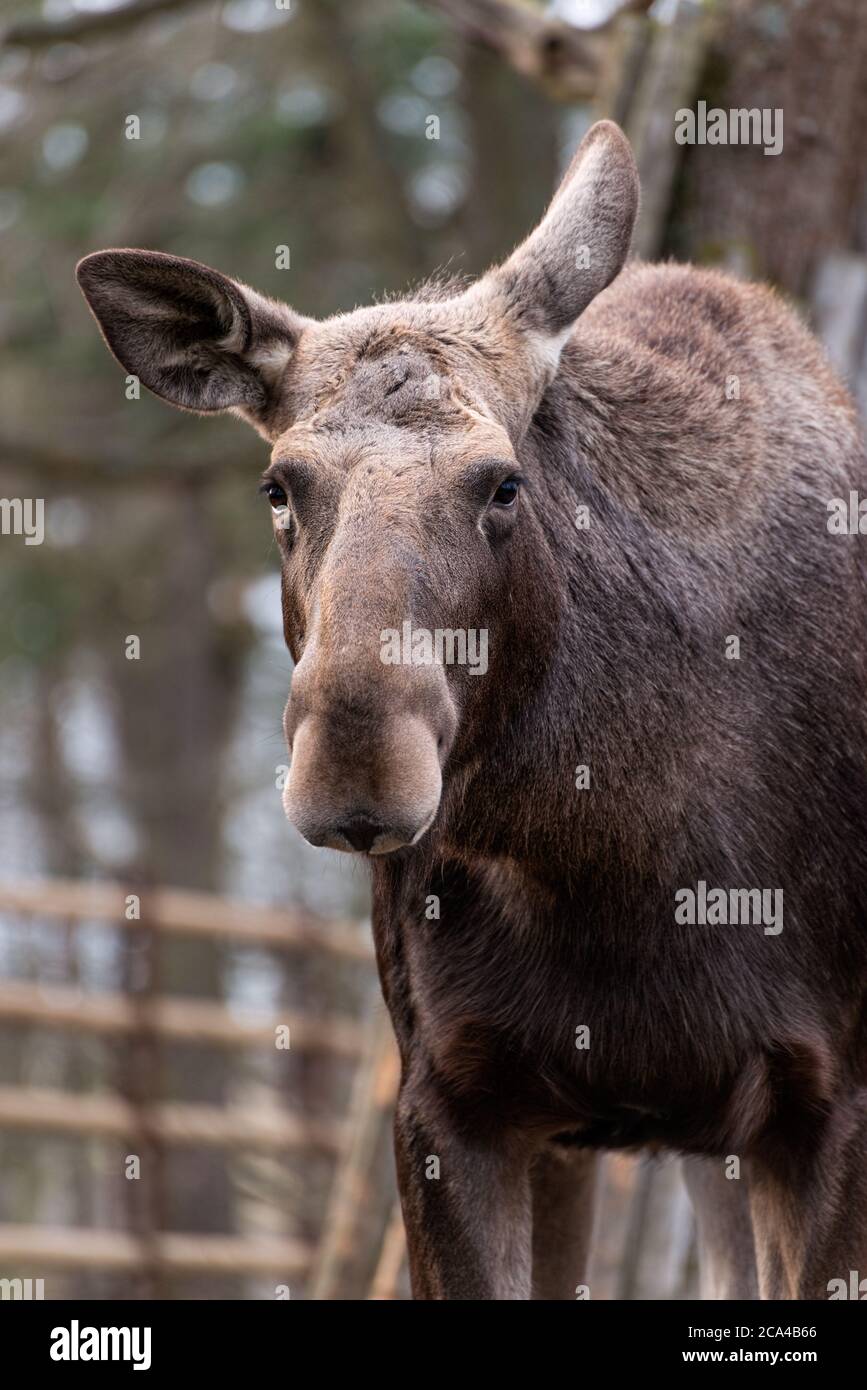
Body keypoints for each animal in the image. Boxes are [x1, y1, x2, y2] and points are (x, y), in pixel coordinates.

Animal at [77, 120, 867, 1300]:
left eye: (501, 484)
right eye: (279, 486)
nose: (357, 766)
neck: (609, 854)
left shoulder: (828, 1105)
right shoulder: (456, 1099)